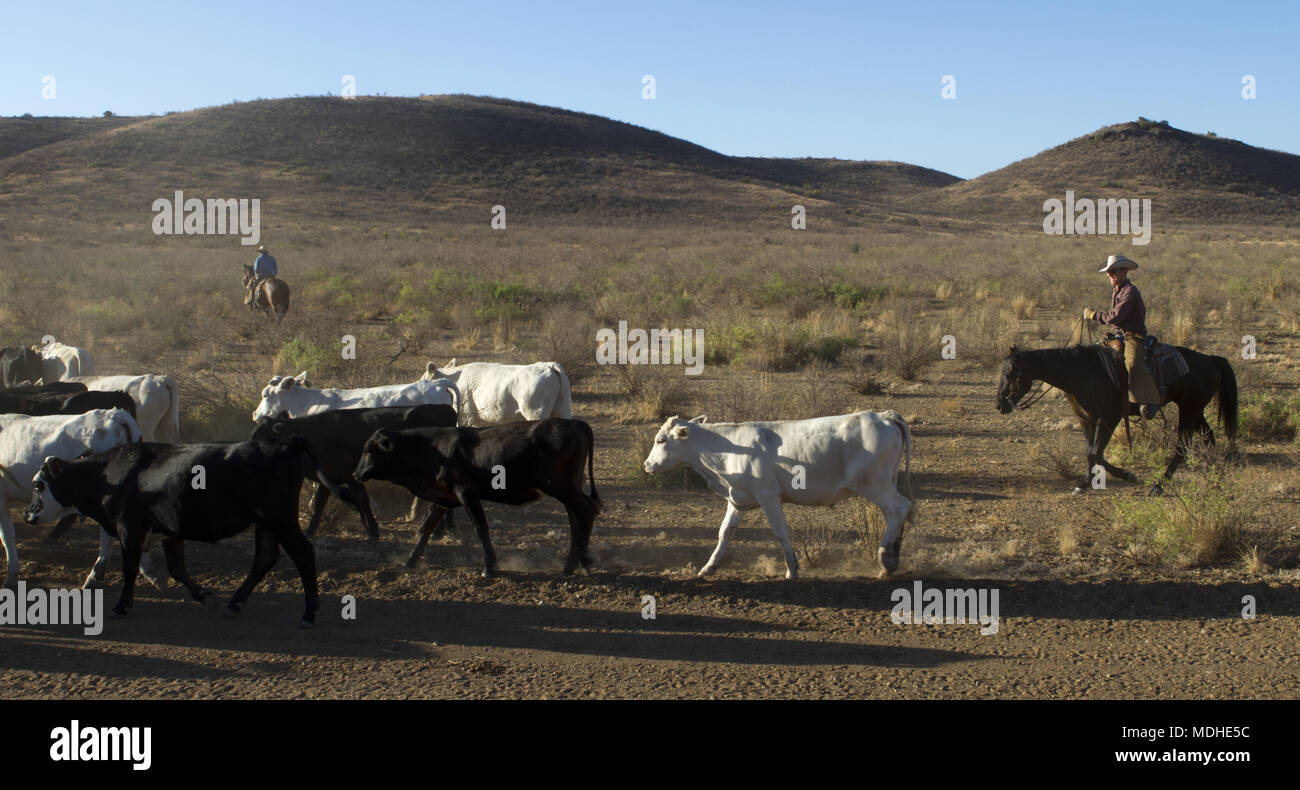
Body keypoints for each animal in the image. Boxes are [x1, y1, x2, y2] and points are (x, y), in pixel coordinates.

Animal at [24, 437, 323, 627]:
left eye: (38, 484)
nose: (28, 514)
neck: (110, 474)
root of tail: (285, 445)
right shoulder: (169, 532)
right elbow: (178, 569)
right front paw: (206, 597)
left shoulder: (129, 530)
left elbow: (130, 570)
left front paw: (121, 607)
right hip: (266, 524)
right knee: (264, 558)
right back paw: (234, 604)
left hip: (281, 521)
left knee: (304, 555)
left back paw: (309, 614)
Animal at [249, 403, 457, 538]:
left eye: (262, 435)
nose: (247, 450)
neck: (313, 434)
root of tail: (444, 407)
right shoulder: (338, 475)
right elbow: (342, 501)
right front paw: (371, 528)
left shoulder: (340, 474)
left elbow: (339, 502)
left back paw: (440, 532)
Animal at [354, 418, 601, 577]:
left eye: (368, 451)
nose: (356, 474)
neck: (436, 450)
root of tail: (576, 424)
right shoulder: (444, 495)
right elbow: (427, 527)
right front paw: (410, 561)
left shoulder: (466, 493)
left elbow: (480, 528)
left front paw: (489, 567)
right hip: (570, 487)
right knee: (577, 517)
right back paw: (581, 561)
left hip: (561, 487)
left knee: (585, 511)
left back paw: (572, 565)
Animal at [642, 411, 915, 579]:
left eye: (661, 440)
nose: (647, 465)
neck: (726, 449)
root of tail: (884, 416)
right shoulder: (738, 498)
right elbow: (724, 532)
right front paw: (708, 567)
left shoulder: (768, 496)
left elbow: (780, 532)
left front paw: (792, 569)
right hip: (886, 482)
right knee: (900, 513)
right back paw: (893, 557)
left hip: (874, 485)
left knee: (899, 508)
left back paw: (886, 561)